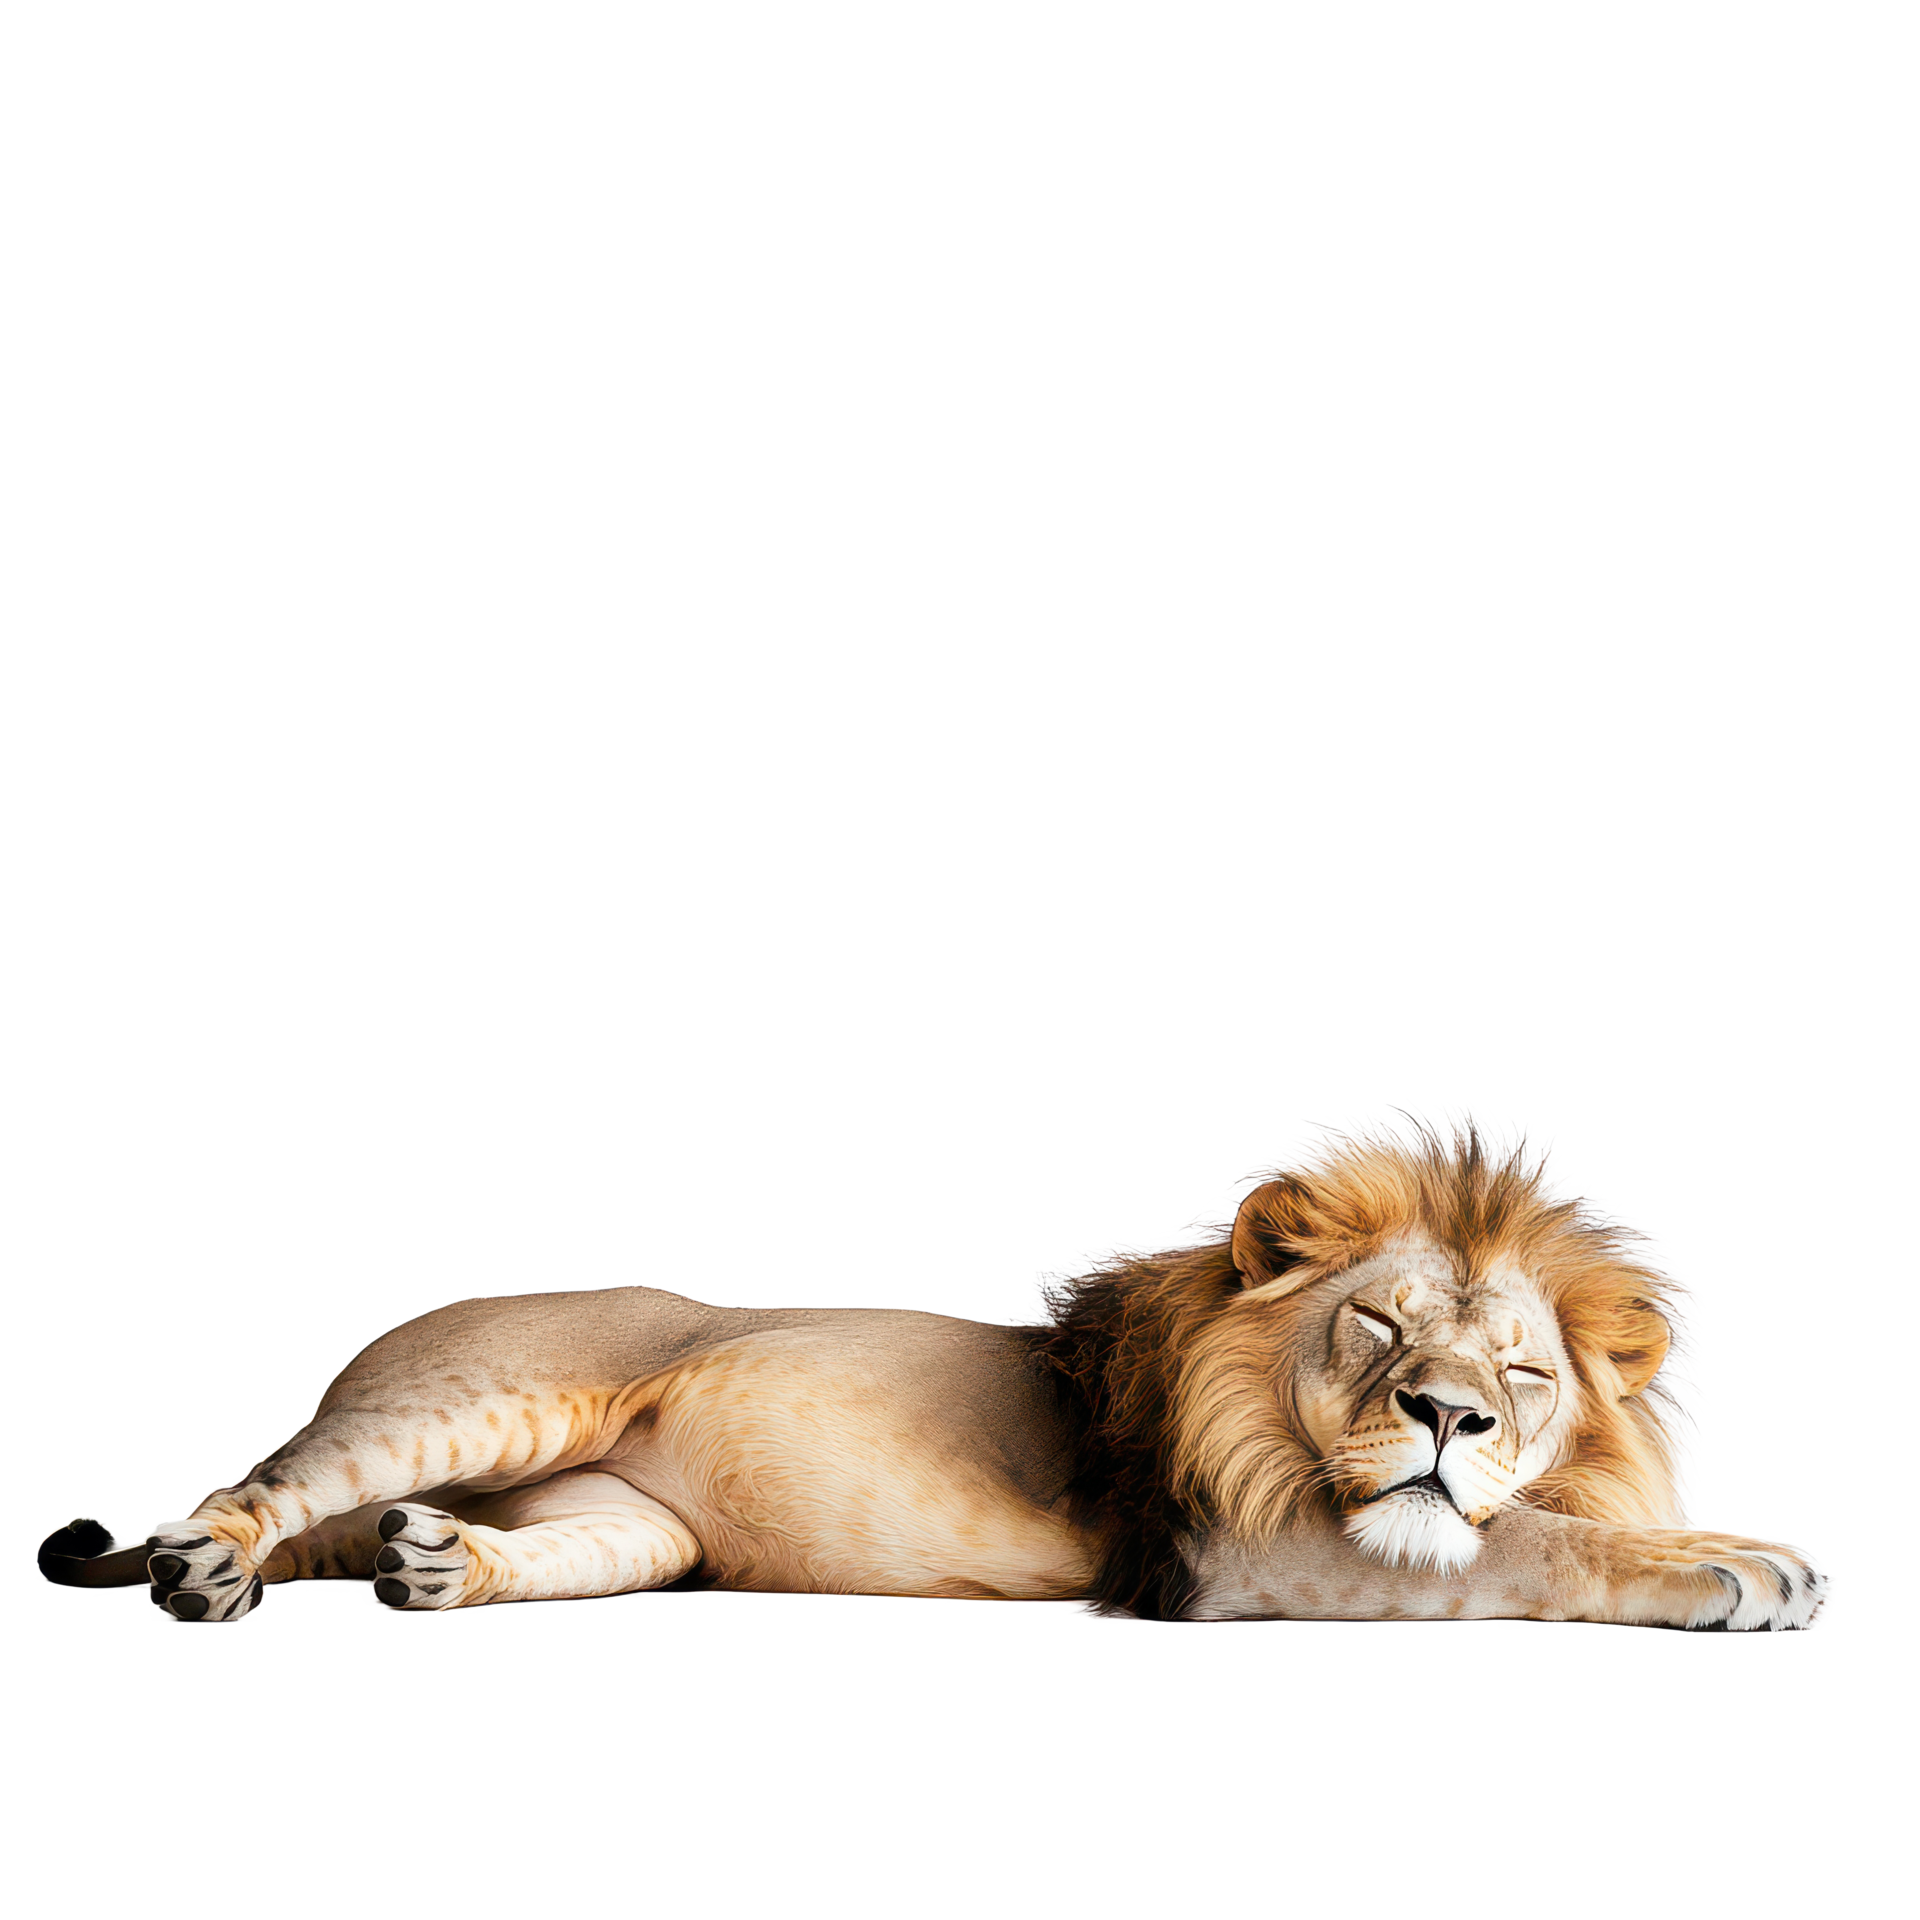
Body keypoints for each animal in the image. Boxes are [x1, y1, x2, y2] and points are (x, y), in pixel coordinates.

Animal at [35, 1102, 1834, 1629]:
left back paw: (438, 1569)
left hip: (633, 1527)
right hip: (465, 1396)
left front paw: (1739, 1540)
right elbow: (1530, 1539)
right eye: (1382, 1329)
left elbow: (1539, 1514)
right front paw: (1743, 1568)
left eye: (1518, 1377)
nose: (1447, 1417)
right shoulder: (1250, 1552)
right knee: (258, 1484)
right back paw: (200, 1570)